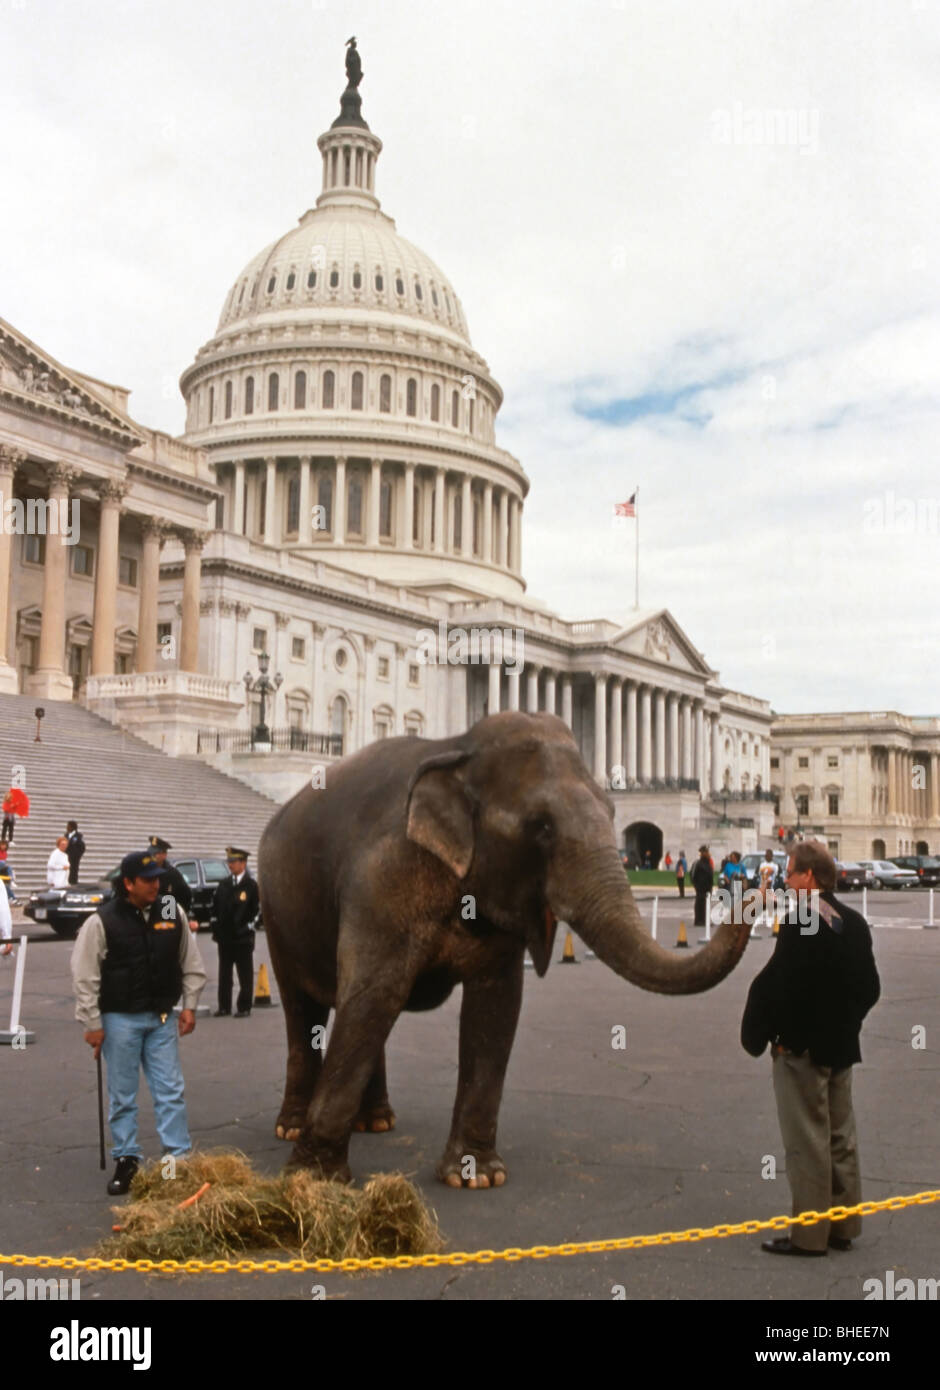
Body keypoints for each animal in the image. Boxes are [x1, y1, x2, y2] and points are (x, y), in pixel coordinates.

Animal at [258, 711, 750, 1188]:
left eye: (613, 811)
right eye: (542, 827)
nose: (743, 884)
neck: (458, 750)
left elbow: (493, 1010)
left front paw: (475, 1175)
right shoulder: (382, 877)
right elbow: (373, 995)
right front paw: (312, 1181)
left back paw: (376, 1121)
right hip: (278, 915)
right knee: (305, 1011)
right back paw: (293, 1126)